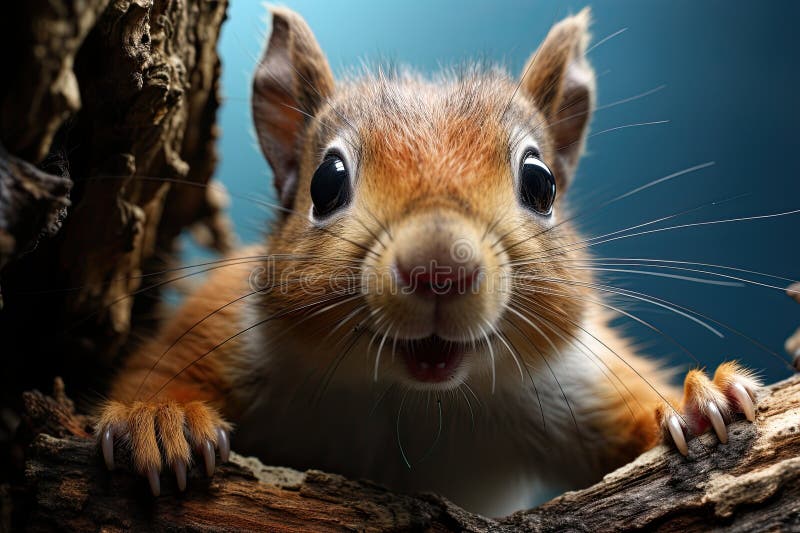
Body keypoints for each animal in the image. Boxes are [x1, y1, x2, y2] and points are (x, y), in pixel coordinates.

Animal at [96, 7, 761, 516]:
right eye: (325, 183)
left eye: (541, 183)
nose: (440, 270)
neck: (412, 398)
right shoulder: (224, 323)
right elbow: (160, 366)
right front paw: (160, 421)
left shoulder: (578, 374)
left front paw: (696, 403)